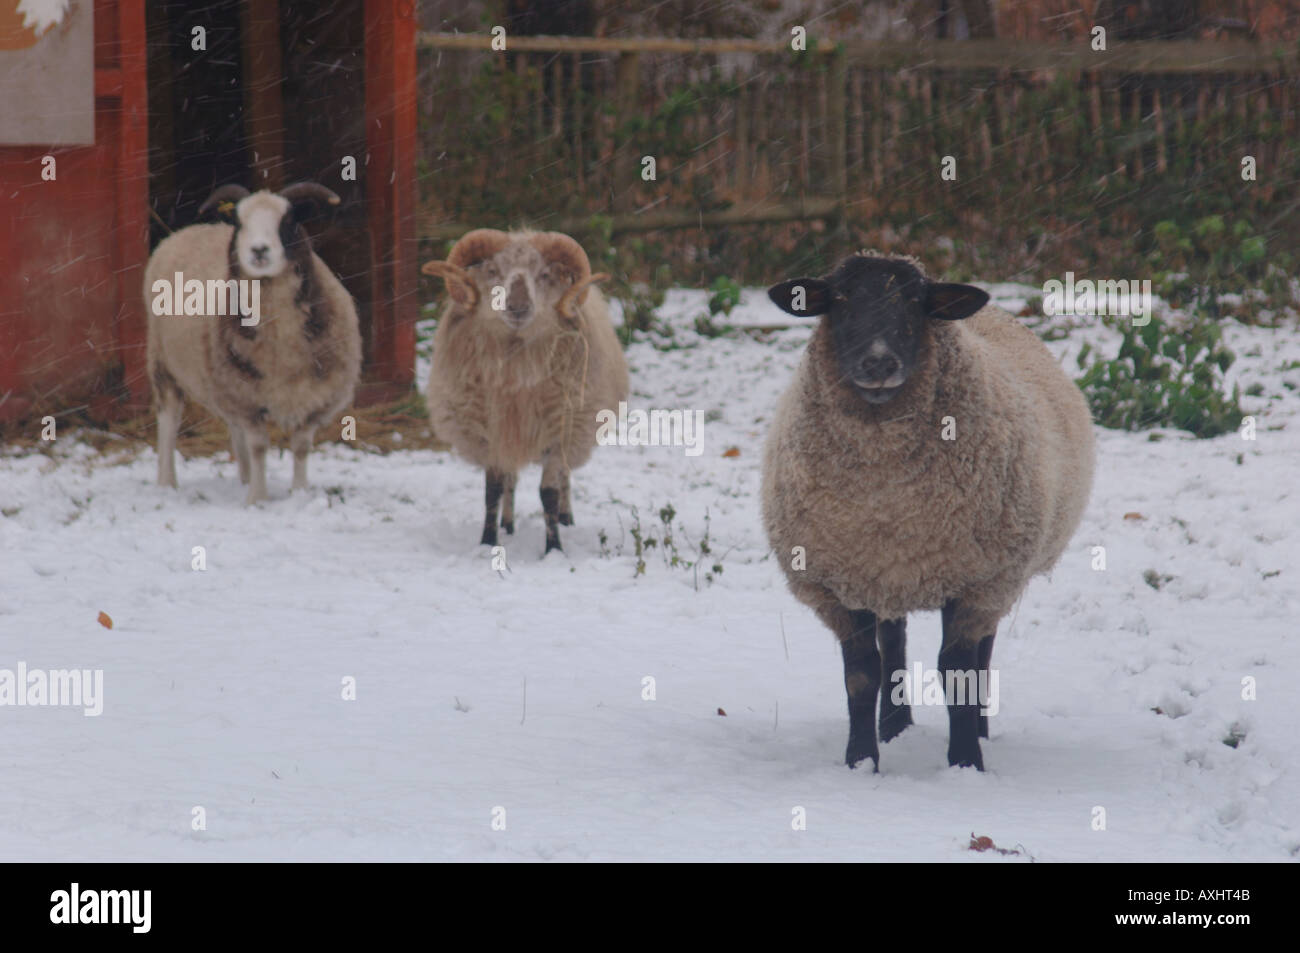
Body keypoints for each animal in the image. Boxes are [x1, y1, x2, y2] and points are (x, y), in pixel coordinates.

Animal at [144, 182, 362, 505]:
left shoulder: (310, 397)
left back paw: (244, 478)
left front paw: (299, 493)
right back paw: (166, 482)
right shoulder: (248, 401)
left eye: (289, 221)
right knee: (168, 424)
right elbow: (259, 447)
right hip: (163, 364)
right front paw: (258, 499)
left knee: (235, 432)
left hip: (225, 381)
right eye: (239, 222)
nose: (259, 250)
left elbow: (300, 447)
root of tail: (187, 231)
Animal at [420, 229, 629, 554]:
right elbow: (492, 489)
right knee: (511, 481)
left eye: (544, 274)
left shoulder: (560, 431)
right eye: (493, 271)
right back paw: (508, 524)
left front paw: (554, 548)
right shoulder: (491, 433)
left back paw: (566, 518)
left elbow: (549, 493)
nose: (517, 306)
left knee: (565, 478)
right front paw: (488, 540)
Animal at [762, 253, 1094, 772]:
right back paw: (894, 727)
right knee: (894, 642)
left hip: (996, 577)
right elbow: (862, 675)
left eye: (916, 302)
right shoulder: (843, 580)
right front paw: (862, 761)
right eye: (838, 299)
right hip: (889, 574)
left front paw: (966, 761)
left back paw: (979, 730)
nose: (879, 362)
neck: (888, 492)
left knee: (983, 654)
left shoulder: (975, 579)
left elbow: (958, 673)